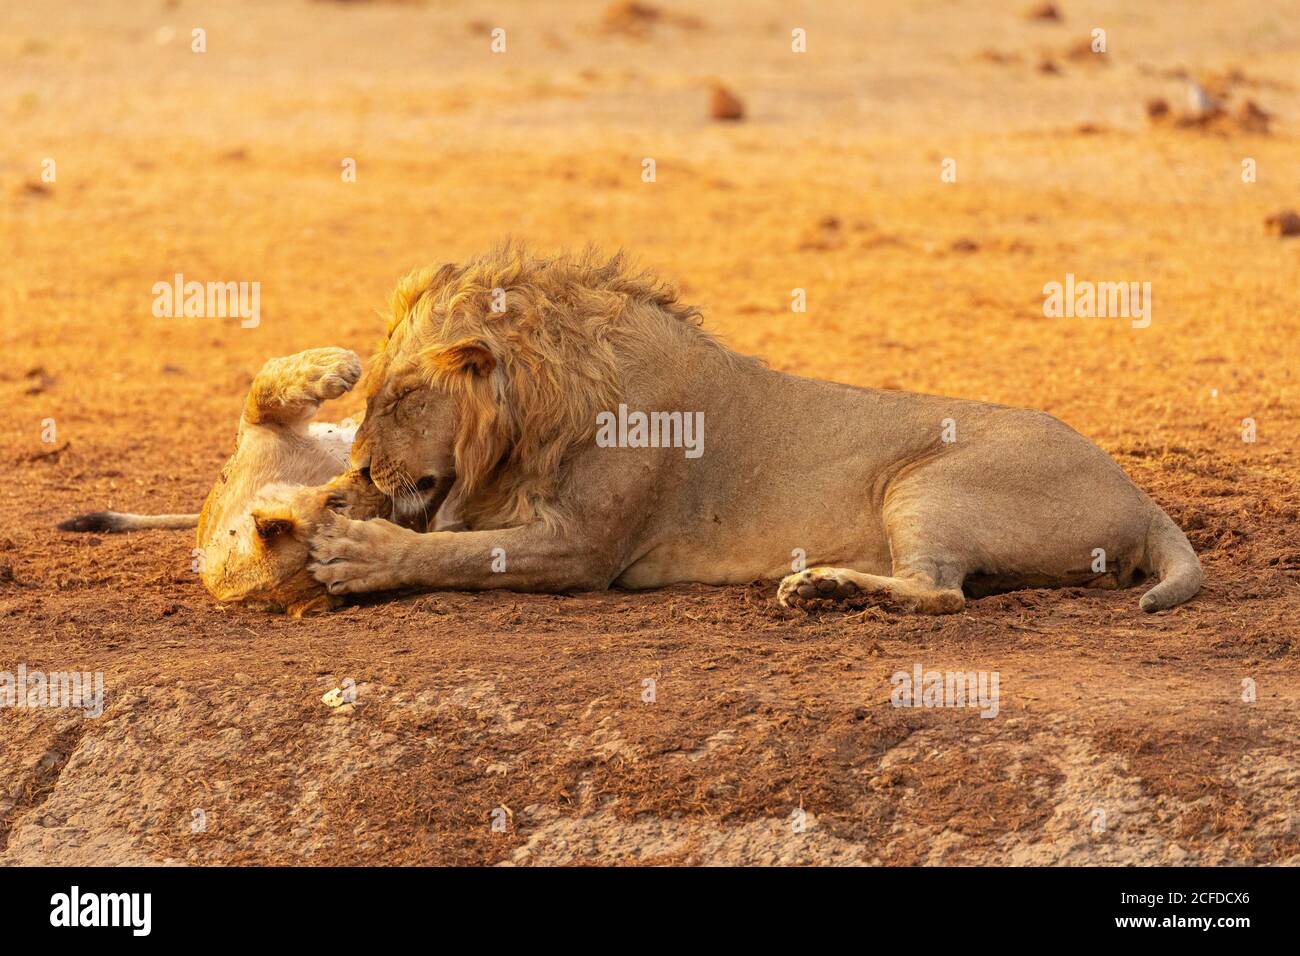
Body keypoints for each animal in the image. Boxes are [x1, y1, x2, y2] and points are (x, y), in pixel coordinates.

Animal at [306, 245, 1203, 615]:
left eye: (401, 398)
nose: (361, 467)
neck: (545, 406)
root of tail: (1140, 495)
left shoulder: (583, 549)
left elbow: (455, 552)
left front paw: (356, 553)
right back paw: (822, 589)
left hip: (927, 482)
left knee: (944, 595)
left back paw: (826, 590)